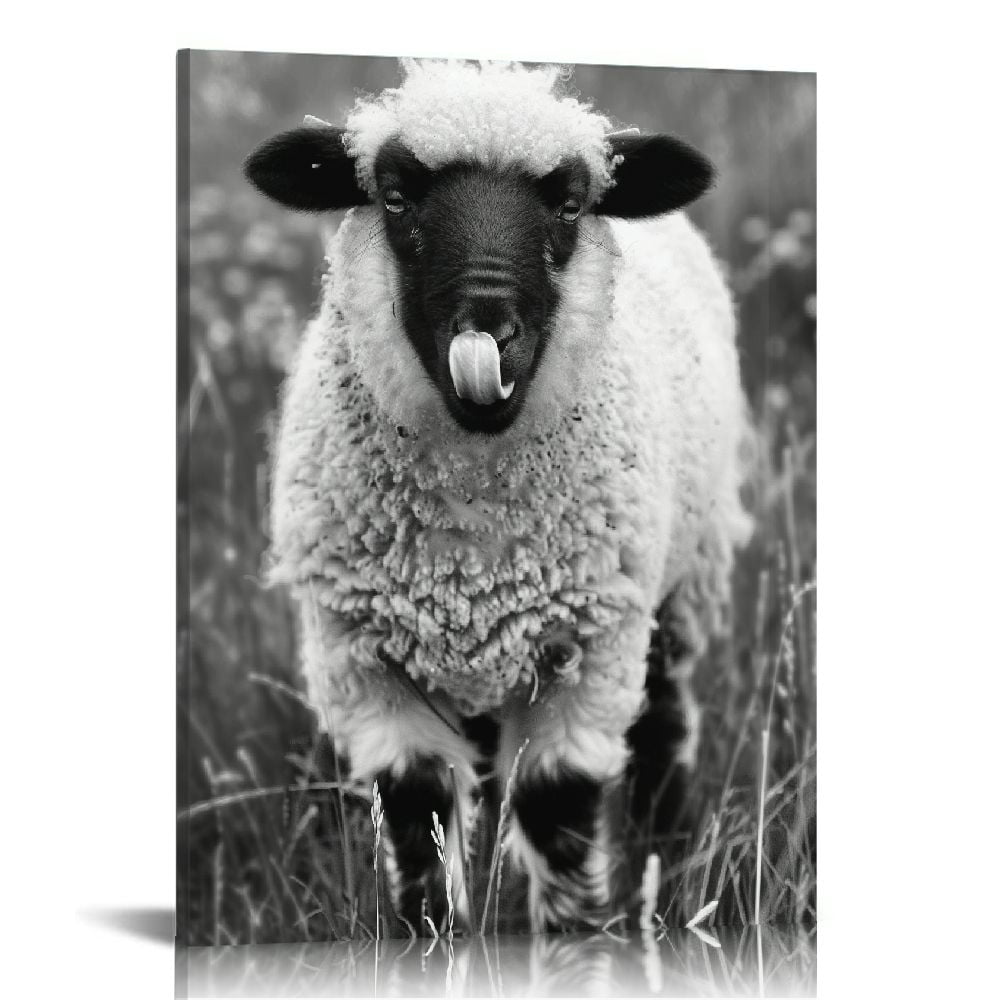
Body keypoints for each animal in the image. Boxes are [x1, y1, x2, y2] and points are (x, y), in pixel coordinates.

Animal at [244, 59, 752, 934]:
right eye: (395, 196)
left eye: (571, 203)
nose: (488, 331)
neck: (470, 541)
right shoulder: (367, 663)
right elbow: (419, 824)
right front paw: (431, 943)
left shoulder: (588, 650)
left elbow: (557, 814)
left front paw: (579, 942)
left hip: (683, 578)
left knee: (666, 721)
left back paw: (672, 848)